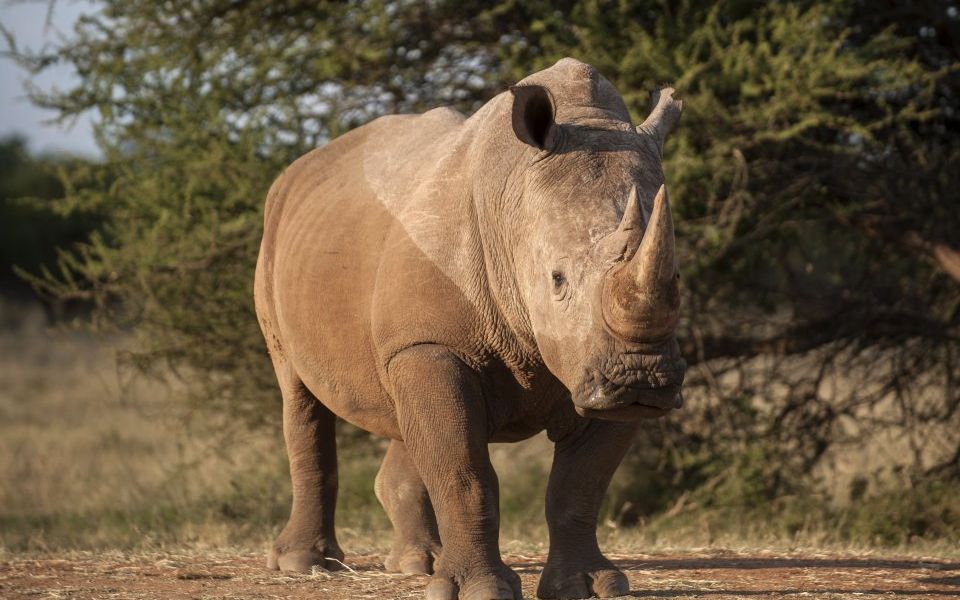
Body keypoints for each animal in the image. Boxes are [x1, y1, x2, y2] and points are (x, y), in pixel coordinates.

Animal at [254, 57, 686, 600]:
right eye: (557, 279)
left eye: (679, 280)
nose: (640, 377)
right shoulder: (435, 343)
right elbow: (464, 470)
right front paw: (476, 590)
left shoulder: (592, 360)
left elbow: (580, 484)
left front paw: (589, 586)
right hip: (276, 245)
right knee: (298, 391)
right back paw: (307, 565)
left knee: (403, 408)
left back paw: (419, 564)